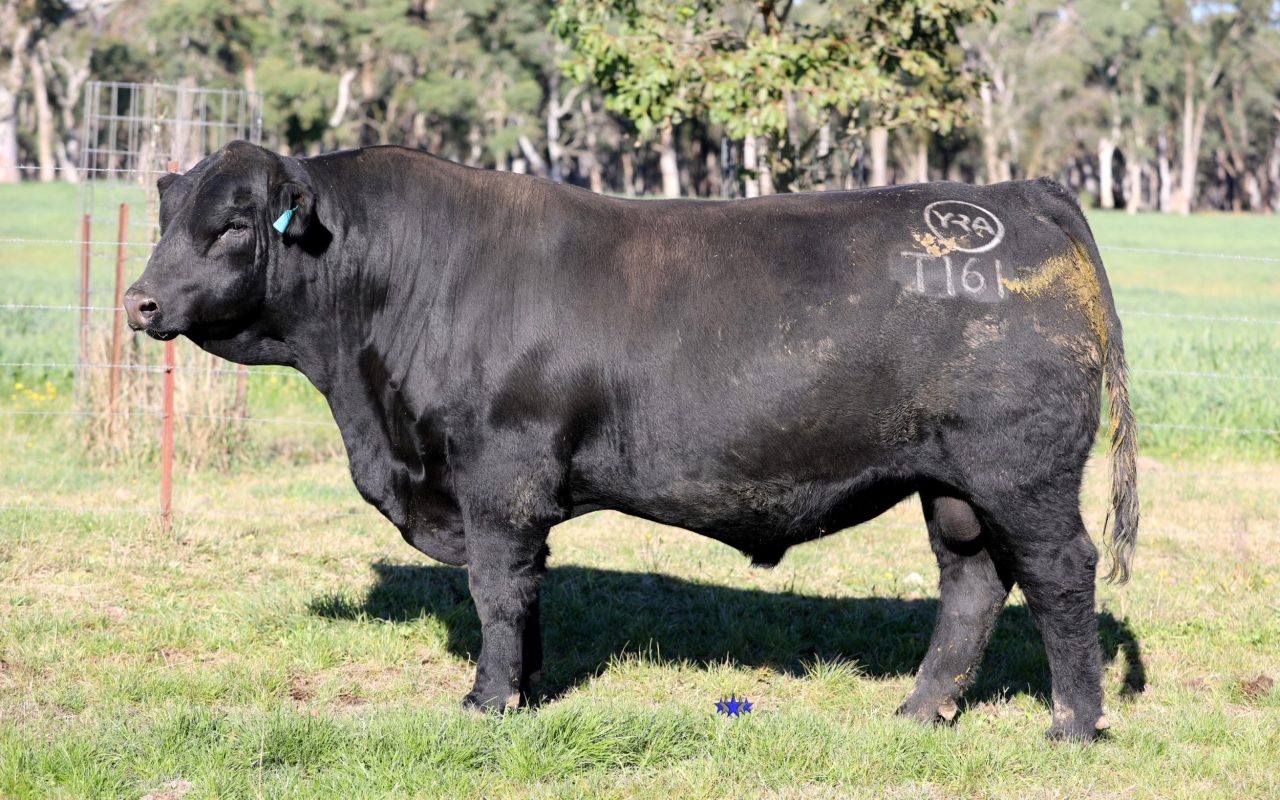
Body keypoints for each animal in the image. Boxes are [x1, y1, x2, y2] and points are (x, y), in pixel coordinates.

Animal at [124, 141, 1138, 741]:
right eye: (168, 219)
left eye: (232, 224)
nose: (138, 301)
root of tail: (1017, 192)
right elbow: (527, 592)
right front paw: (527, 687)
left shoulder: (499, 476)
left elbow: (497, 589)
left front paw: (488, 701)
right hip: (954, 485)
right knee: (972, 583)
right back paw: (921, 711)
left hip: (1023, 474)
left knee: (1059, 573)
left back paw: (1072, 725)